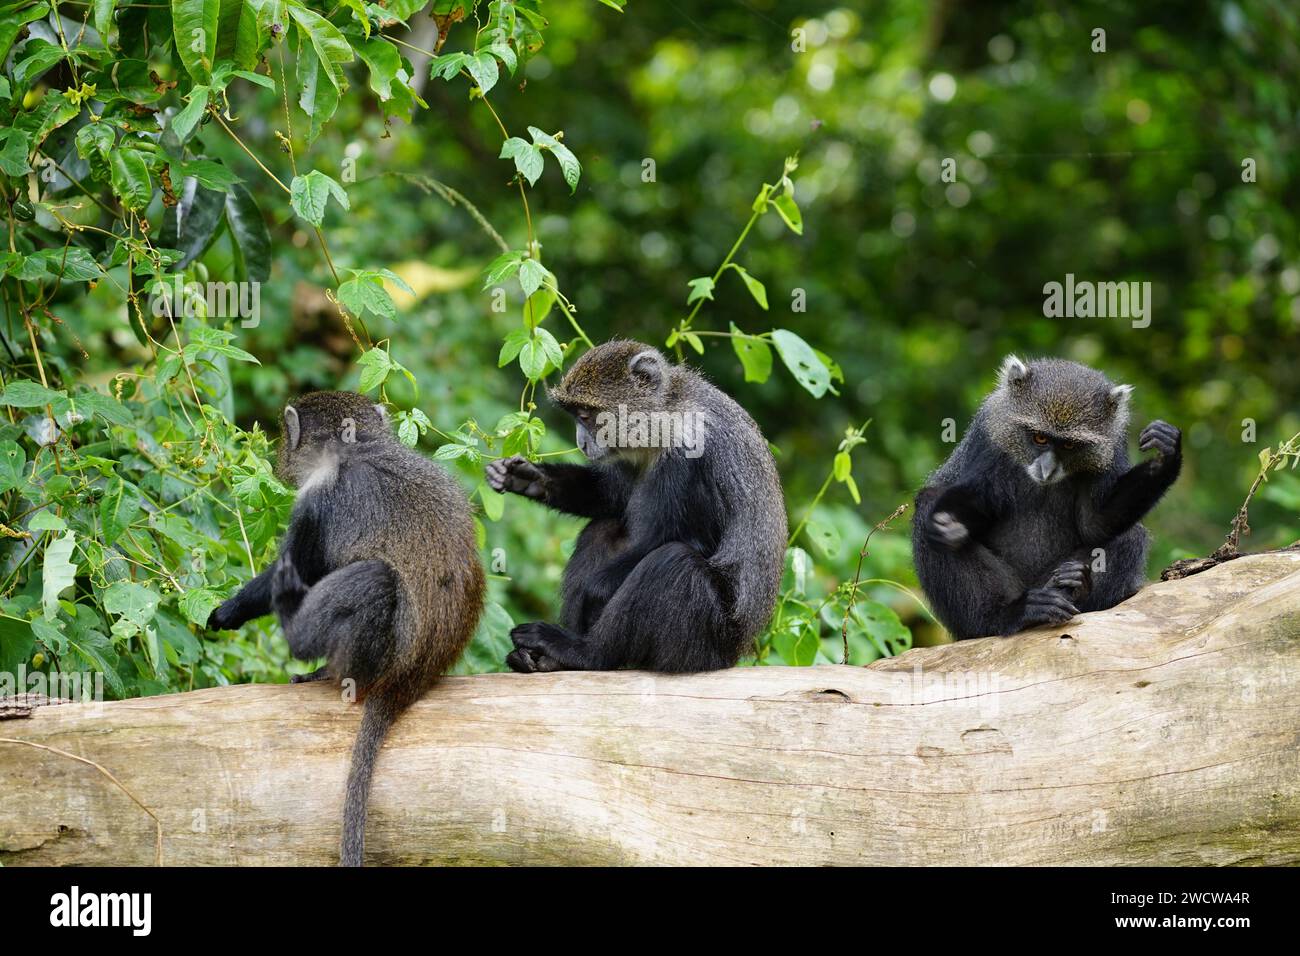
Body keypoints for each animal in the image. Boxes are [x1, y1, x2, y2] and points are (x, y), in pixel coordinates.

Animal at [207, 391, 484, 866]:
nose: (279, 459)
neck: (362, 448)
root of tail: (413, 677)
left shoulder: (318, 500)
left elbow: (299, 569)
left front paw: (231, 610)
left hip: (379, 656)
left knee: (374, 578)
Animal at [485, 340, 787, 673]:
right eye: (576, 415)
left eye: (586, 415)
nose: (581, 443)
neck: (667, 412)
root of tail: (735, 652)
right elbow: (611, 497)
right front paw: (526, 477)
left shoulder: (690, 453)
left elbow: (691, 541)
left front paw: (594, 590)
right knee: (603, 528)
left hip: (706, 642)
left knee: (674, 561)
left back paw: (583, 652)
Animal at [912, 355, 1182, 640]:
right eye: (1039, 437)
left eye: (1069, 445)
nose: (1047, 469)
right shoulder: (990, 434)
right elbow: (977, 500)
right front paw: (948, 524)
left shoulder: (1112, 445)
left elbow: (1095, 523)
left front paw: (1167, 455)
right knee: (928, 505)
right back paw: (1006, 616)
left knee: (1131, 535)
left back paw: (1076, 588)